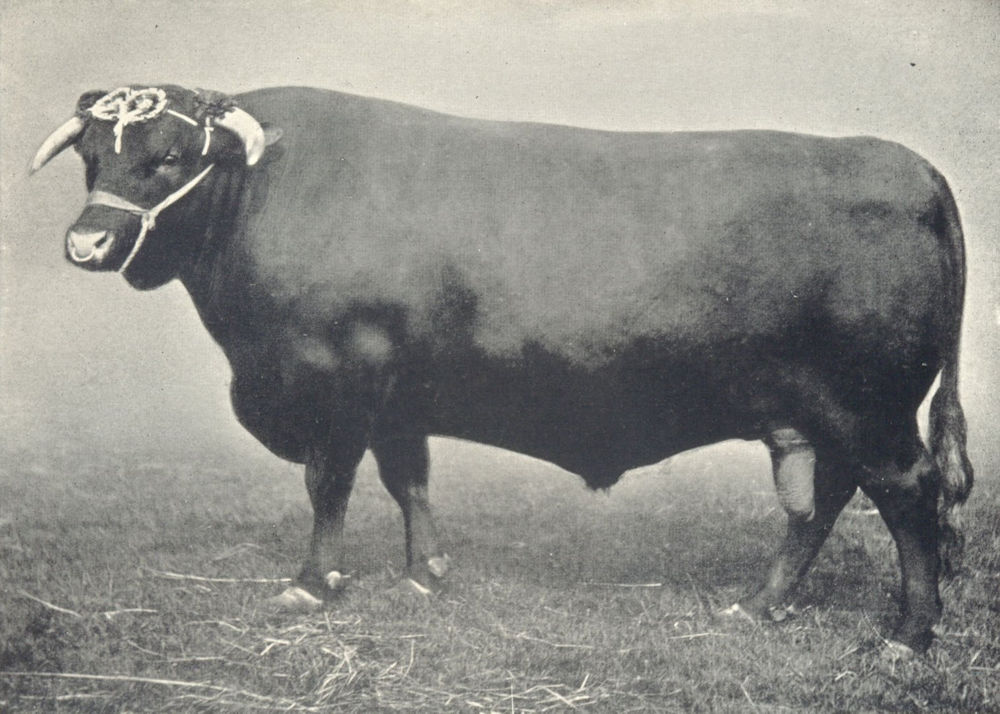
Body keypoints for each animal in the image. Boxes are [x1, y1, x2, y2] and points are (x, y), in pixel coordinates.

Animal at [31, 84, 973, 655]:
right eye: (94, 157)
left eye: (169, 157)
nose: (87, 243)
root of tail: (909, 163)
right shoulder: (396, 396)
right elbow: (407, 478)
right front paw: (425, 573)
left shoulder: (337, 383)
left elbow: (328, 485)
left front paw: (311, 585)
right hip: (824, 413)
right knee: (825, 502)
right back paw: (761, 602)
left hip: (868, 408)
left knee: (908, 493)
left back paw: (909, 633)